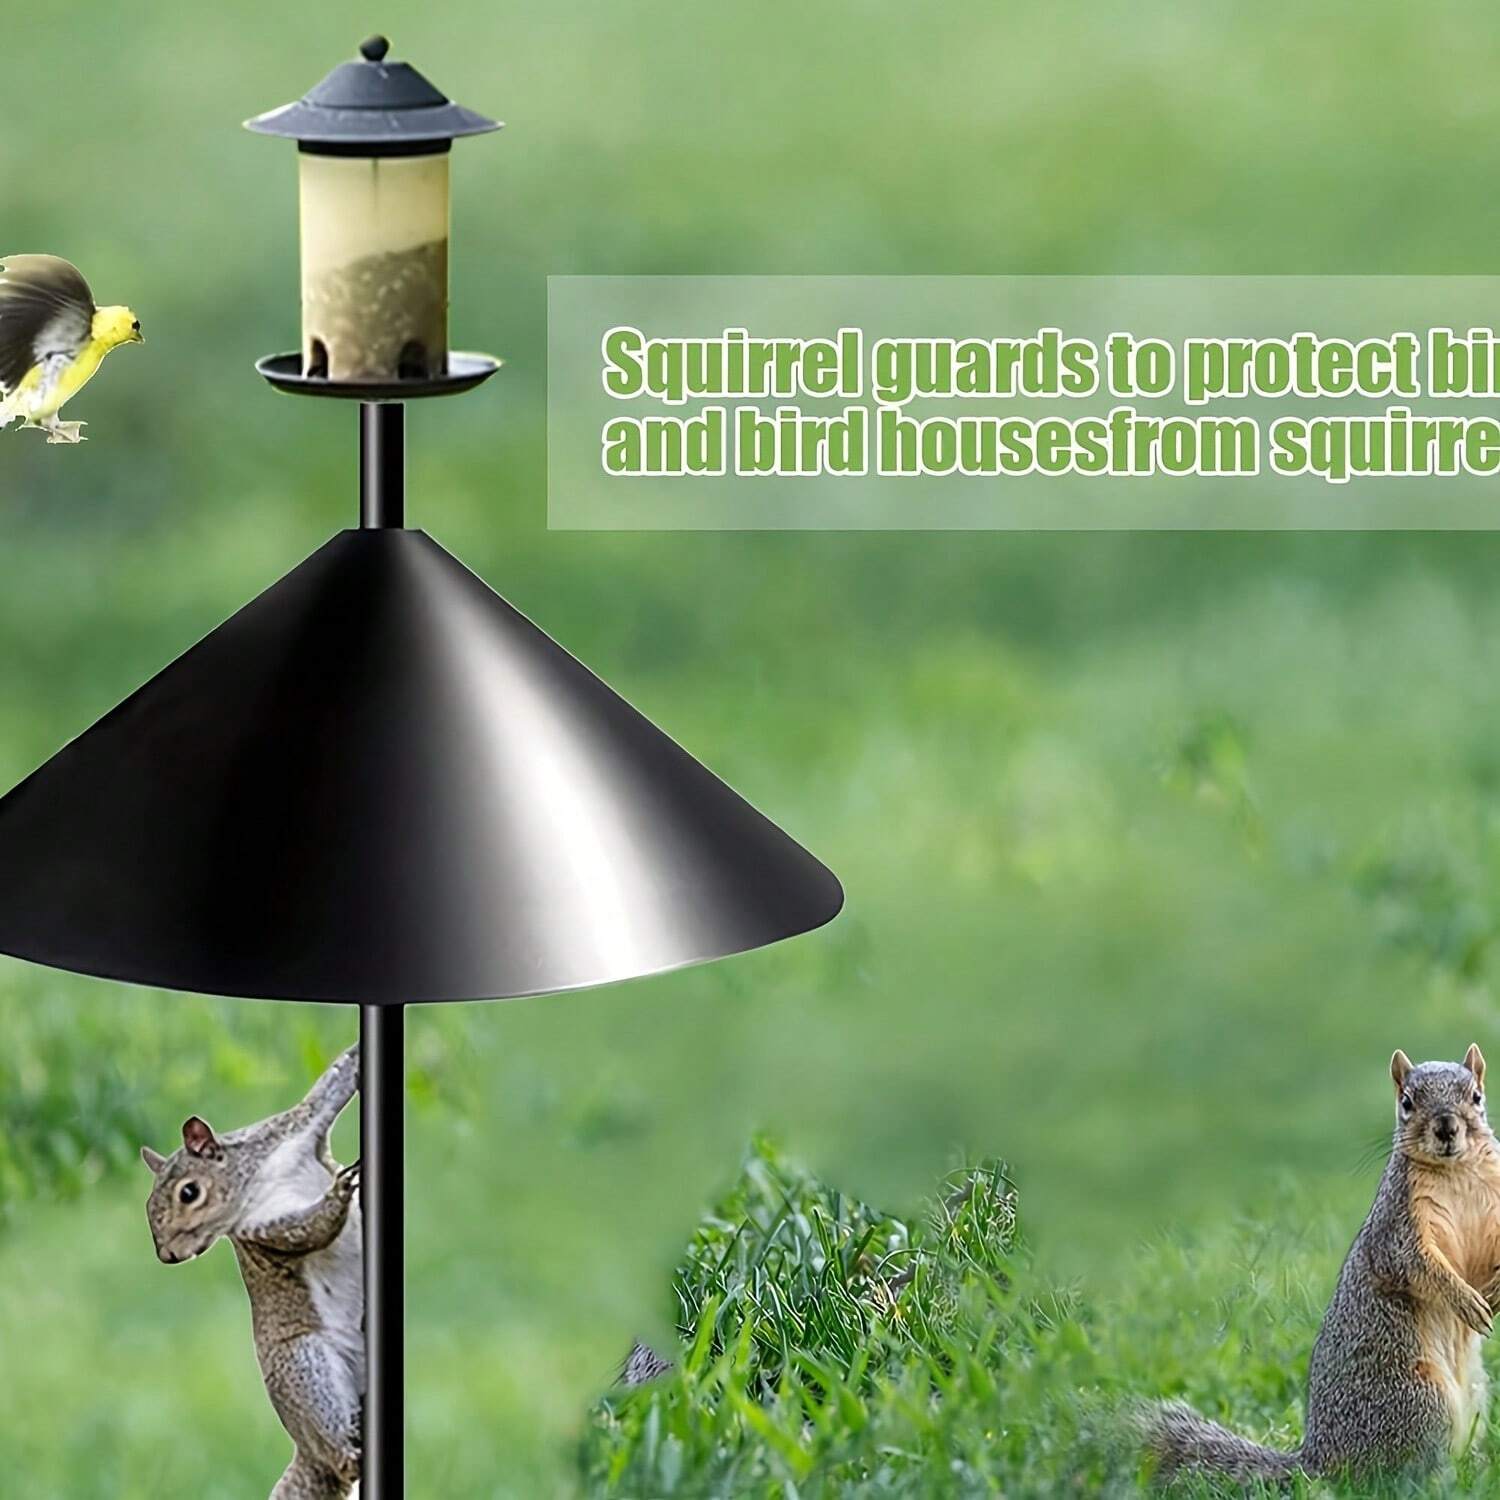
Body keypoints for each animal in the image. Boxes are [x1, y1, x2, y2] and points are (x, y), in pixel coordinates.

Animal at [142, 1045, 363, 1500]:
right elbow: (311, 1229)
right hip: (307, 1369)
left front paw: (354, 1059)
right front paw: (338, 1194)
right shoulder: (265, 1231)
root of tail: (307, 1451)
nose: (168, 1255)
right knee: (338, 1453)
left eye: (189, 1193)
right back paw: (351, 1451)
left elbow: (330, 1086)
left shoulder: (294, 1129)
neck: (256, 1181)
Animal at [1149, 1043, 1500, 1483]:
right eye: (1407, 1102)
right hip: (1420, 1400)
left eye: (1476, 1096)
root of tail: (1321, 1457)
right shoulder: (1397, 1226)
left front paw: (1493, 1293)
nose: (1447, 1128)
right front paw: (1464, 1299)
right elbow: (1414, 1264)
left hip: (1474, 1392)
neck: (1457, 1172)